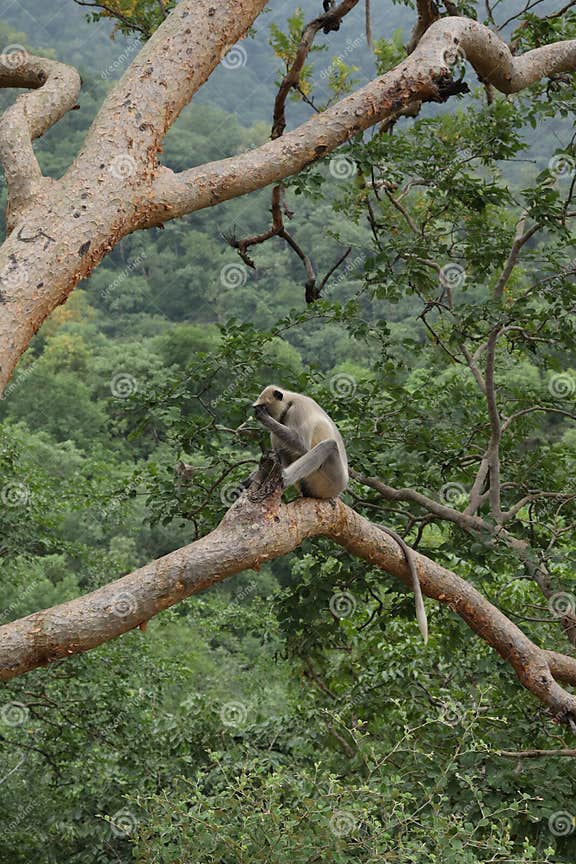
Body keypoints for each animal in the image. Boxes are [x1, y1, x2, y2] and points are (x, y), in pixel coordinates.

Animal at [251, 385, 428, 642]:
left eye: (262, 406)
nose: (256, 411)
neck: (290, 401)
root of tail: (339, 490)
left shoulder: (296, 411)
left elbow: (301, 444)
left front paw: (264, 420)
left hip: (329, 480)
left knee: (326, 447)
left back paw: (284, 477)